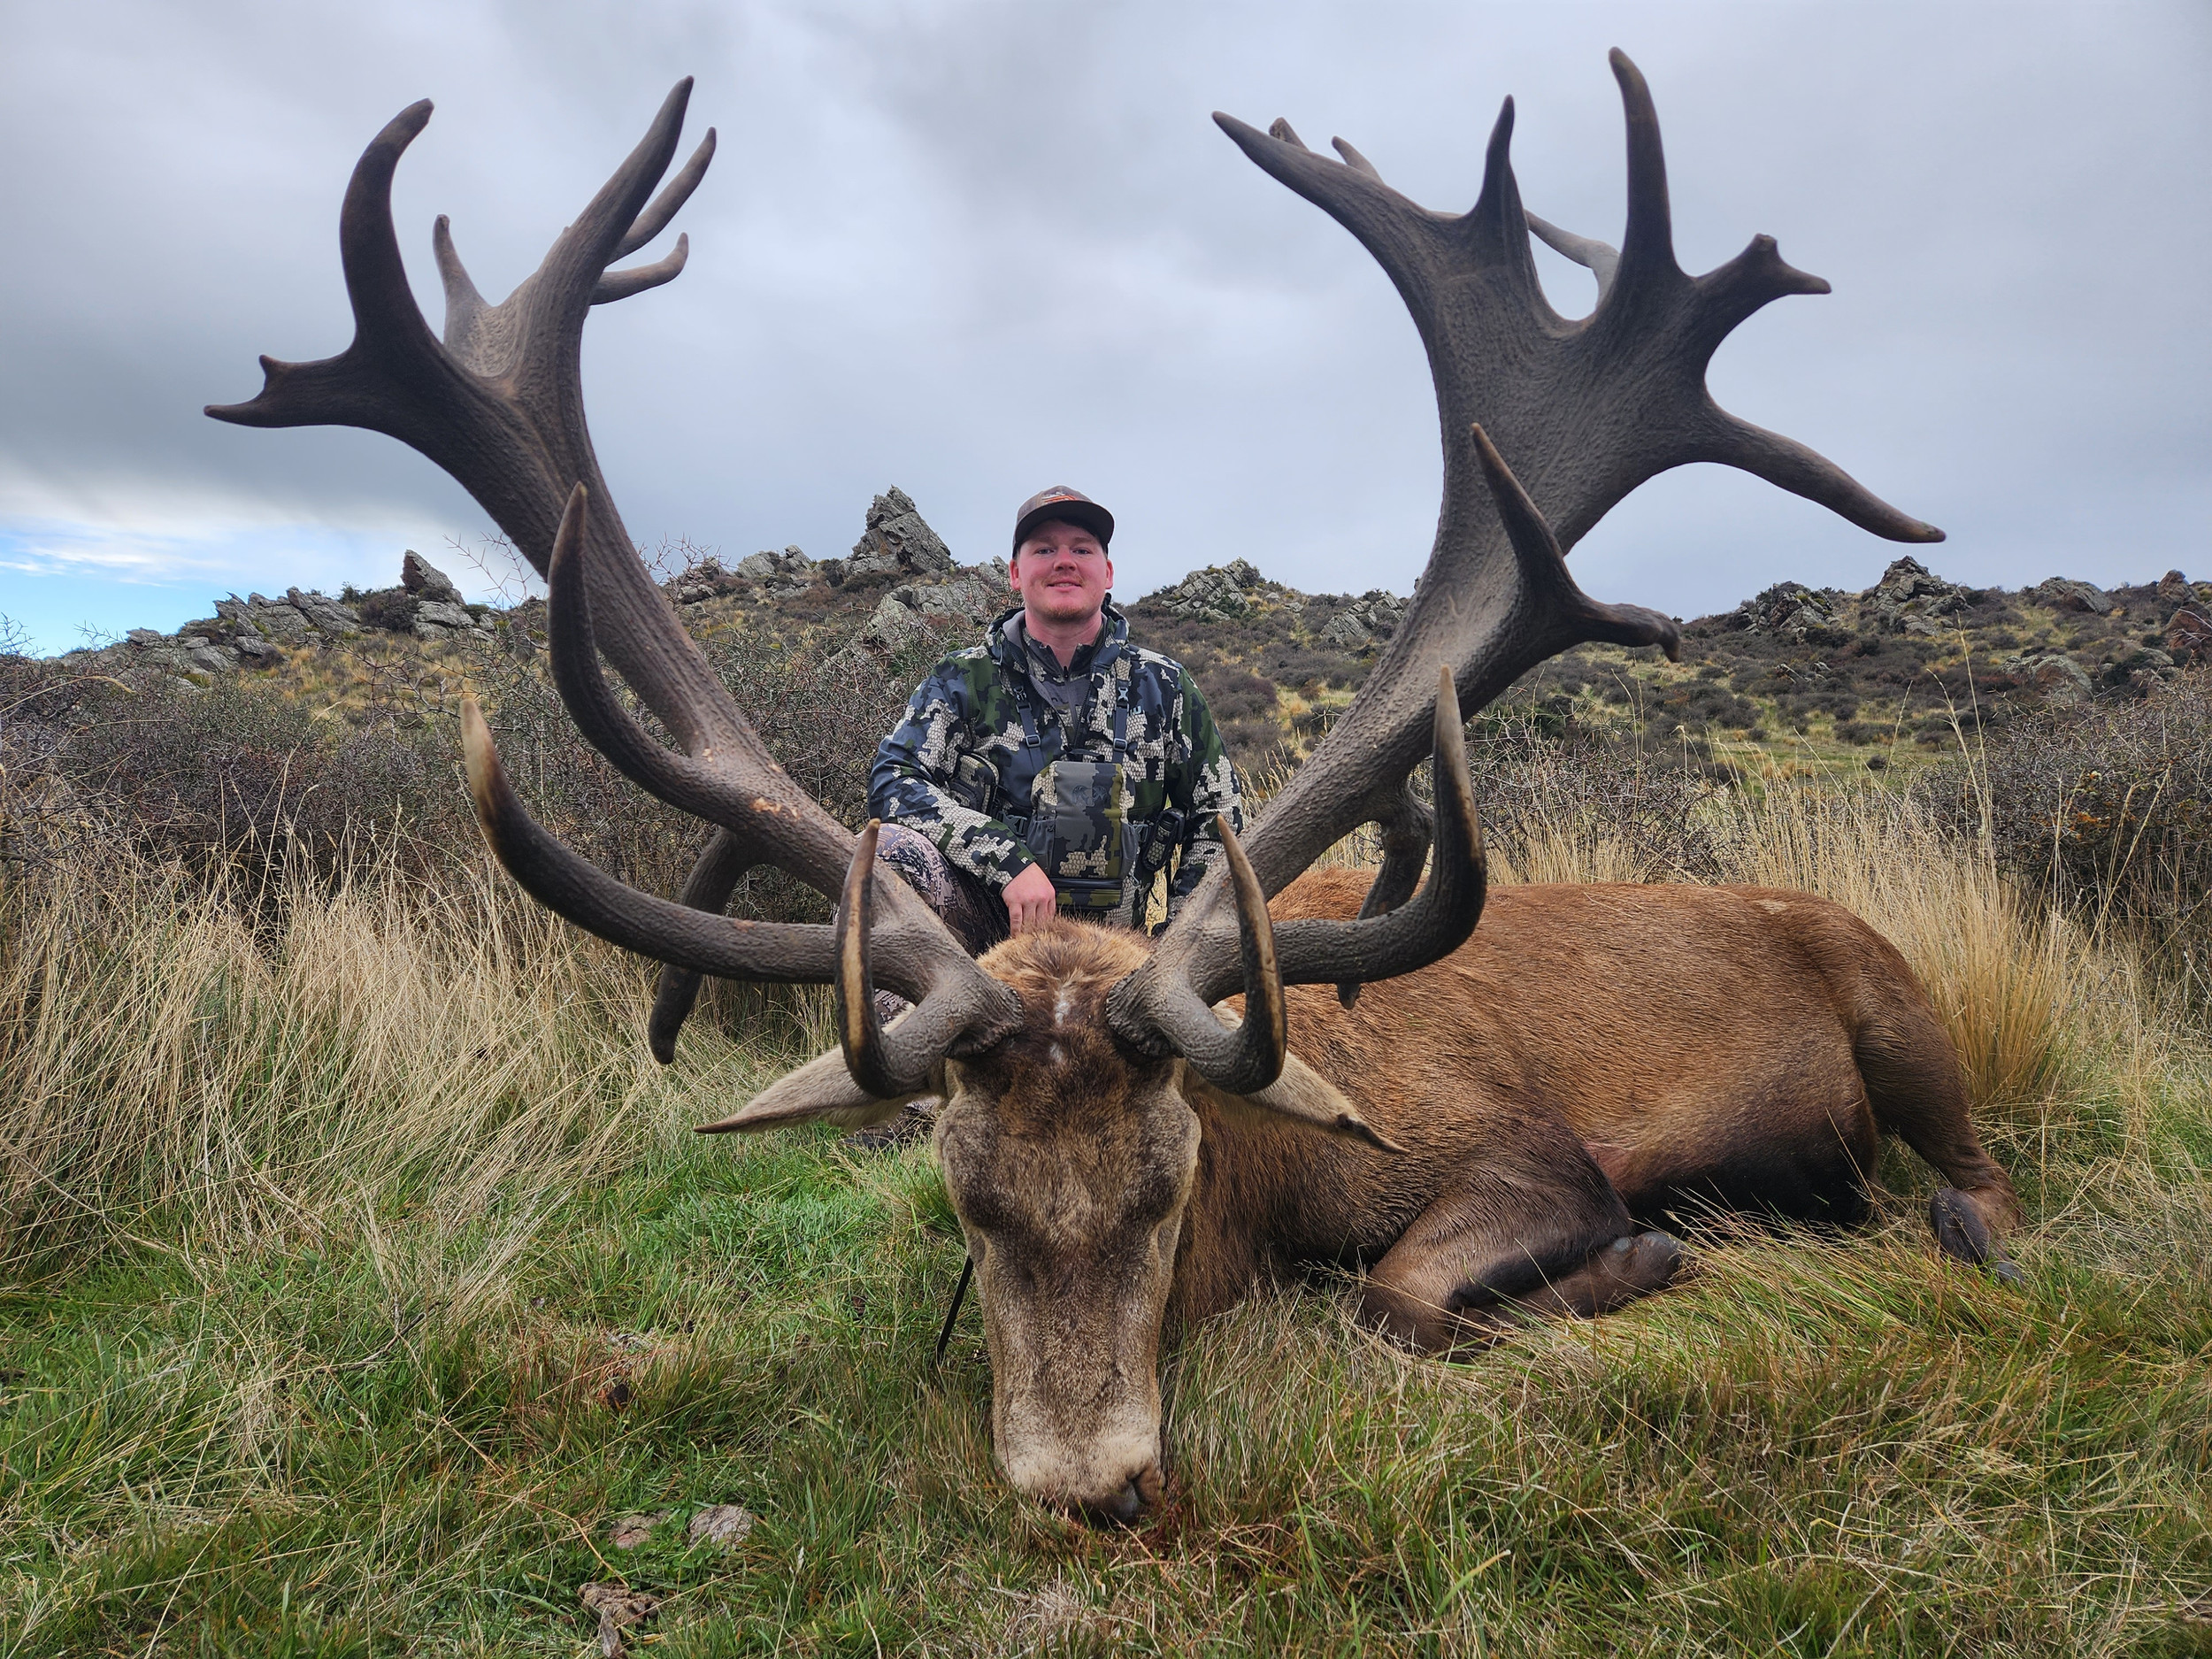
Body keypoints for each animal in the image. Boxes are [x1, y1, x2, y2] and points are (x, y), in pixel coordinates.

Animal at [210, 52, 2022, 1524]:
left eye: (1173, 1177)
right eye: (963, 1194)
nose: (1094, 1487)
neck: (1273, 1194)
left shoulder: (1528, 1149)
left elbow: (1396, 1300)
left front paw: (1650, 1246)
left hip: (1906, 1016)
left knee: (1975, 1178)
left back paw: (1918, 1220)